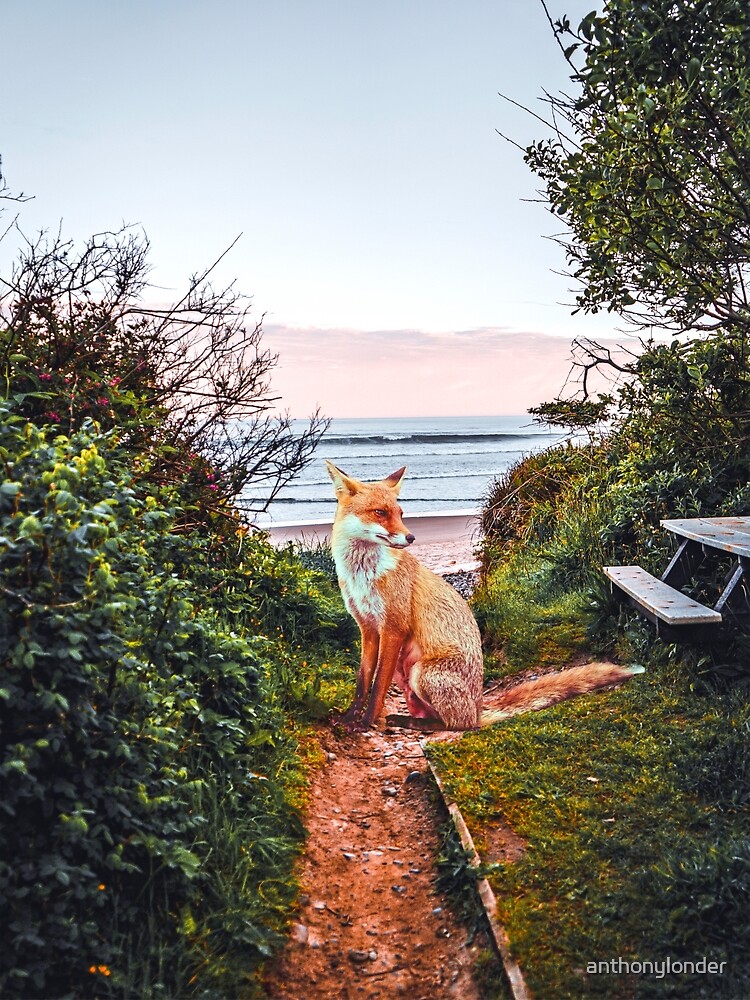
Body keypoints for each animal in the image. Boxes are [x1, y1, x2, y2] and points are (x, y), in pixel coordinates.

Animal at [325, 460, 643, 732]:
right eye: (380, 513)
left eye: (401, 514)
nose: (411, 538)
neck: (363, 576)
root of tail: (479, 706)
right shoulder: (368, 628)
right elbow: (363, 680)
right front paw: (350, 718)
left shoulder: (394, 627)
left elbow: (378, 685)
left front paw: (367, 722)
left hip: (421, 673)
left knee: (460, 724)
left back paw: (415, 723)